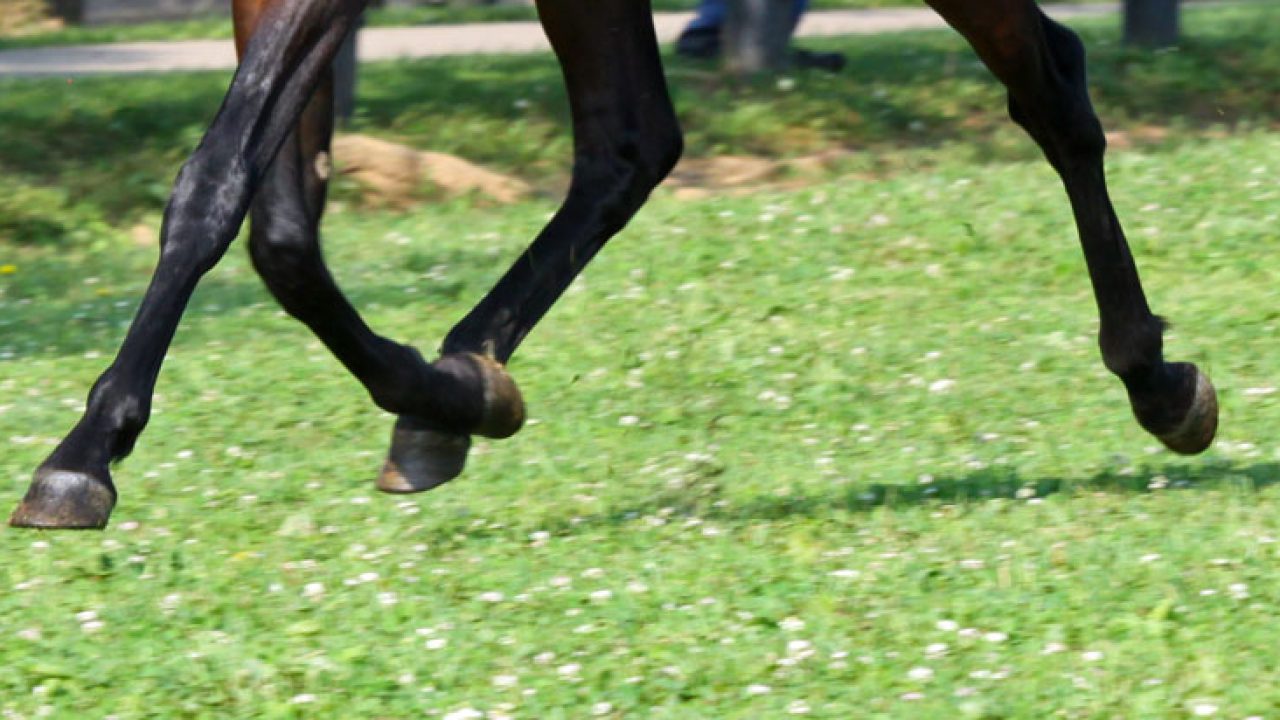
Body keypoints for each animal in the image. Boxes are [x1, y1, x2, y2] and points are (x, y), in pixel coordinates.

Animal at [9, 0, 1219, 529]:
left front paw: (80, 460)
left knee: (1050, 79)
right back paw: (455, 388)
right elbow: (276, 231)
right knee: (629, 142)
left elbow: (224, 188)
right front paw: (446, 394)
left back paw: (1156, 379)